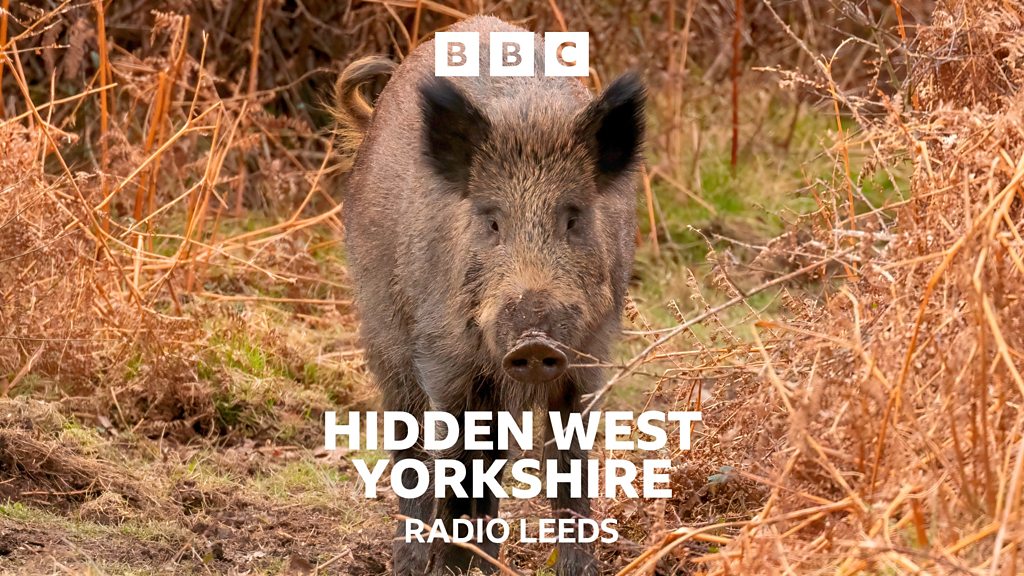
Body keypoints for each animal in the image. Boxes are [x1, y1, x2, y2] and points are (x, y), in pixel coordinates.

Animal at [335, 16, 644, 576]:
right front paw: (449, 566)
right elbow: (454, 466)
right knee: (411, 447)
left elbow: (570, 472)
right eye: (492, 221)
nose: (534, 340)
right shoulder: (445, 361)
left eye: (573, 218)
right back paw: (411, 561)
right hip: (383, 331)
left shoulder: (587, 361)